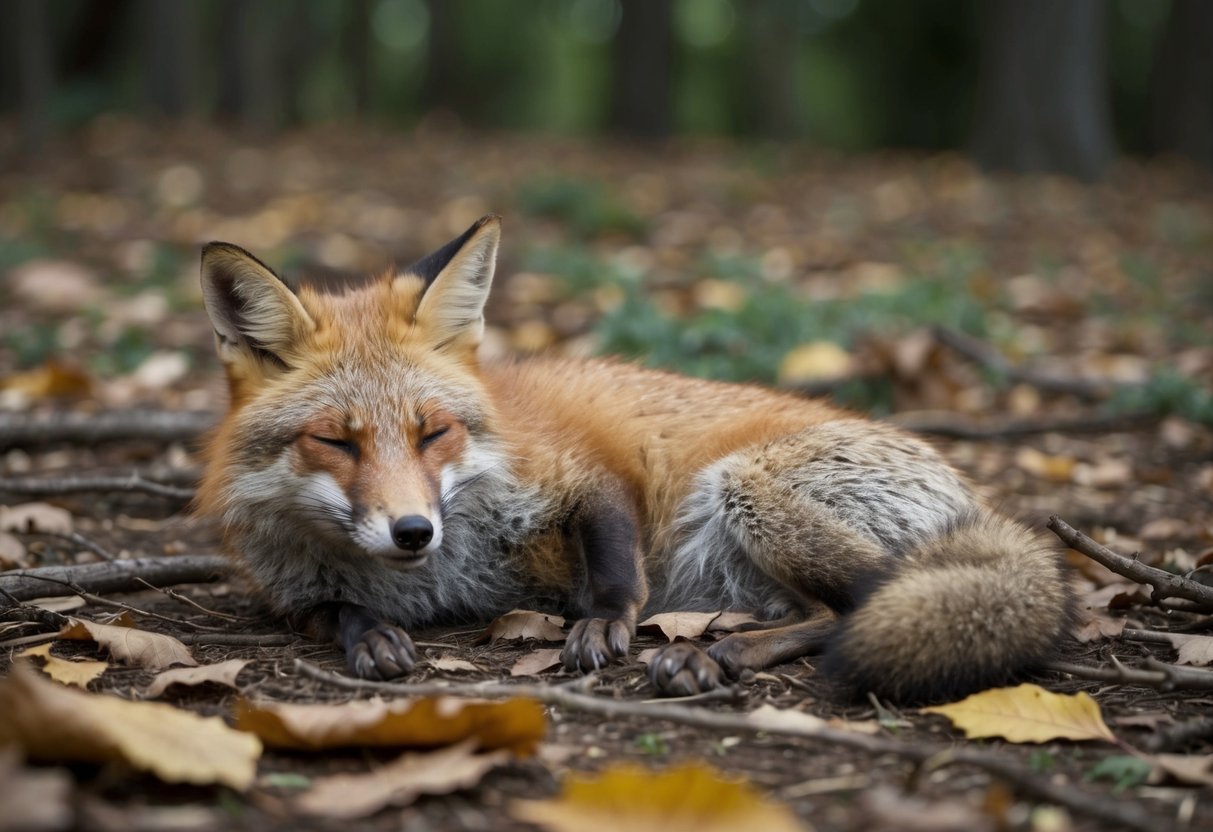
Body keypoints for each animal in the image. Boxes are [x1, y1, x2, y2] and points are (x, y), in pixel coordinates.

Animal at [196, 214, 1071, 703]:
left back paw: (713, 656)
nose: (413, 531)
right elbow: (336, 611)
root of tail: (973, 495)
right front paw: (369, 635)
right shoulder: (289, 590)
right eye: (336, 441)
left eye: (431, 433)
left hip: (744, 486)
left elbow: (614, 564)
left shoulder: (577, 473)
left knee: (870, 598)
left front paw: (602, 624)